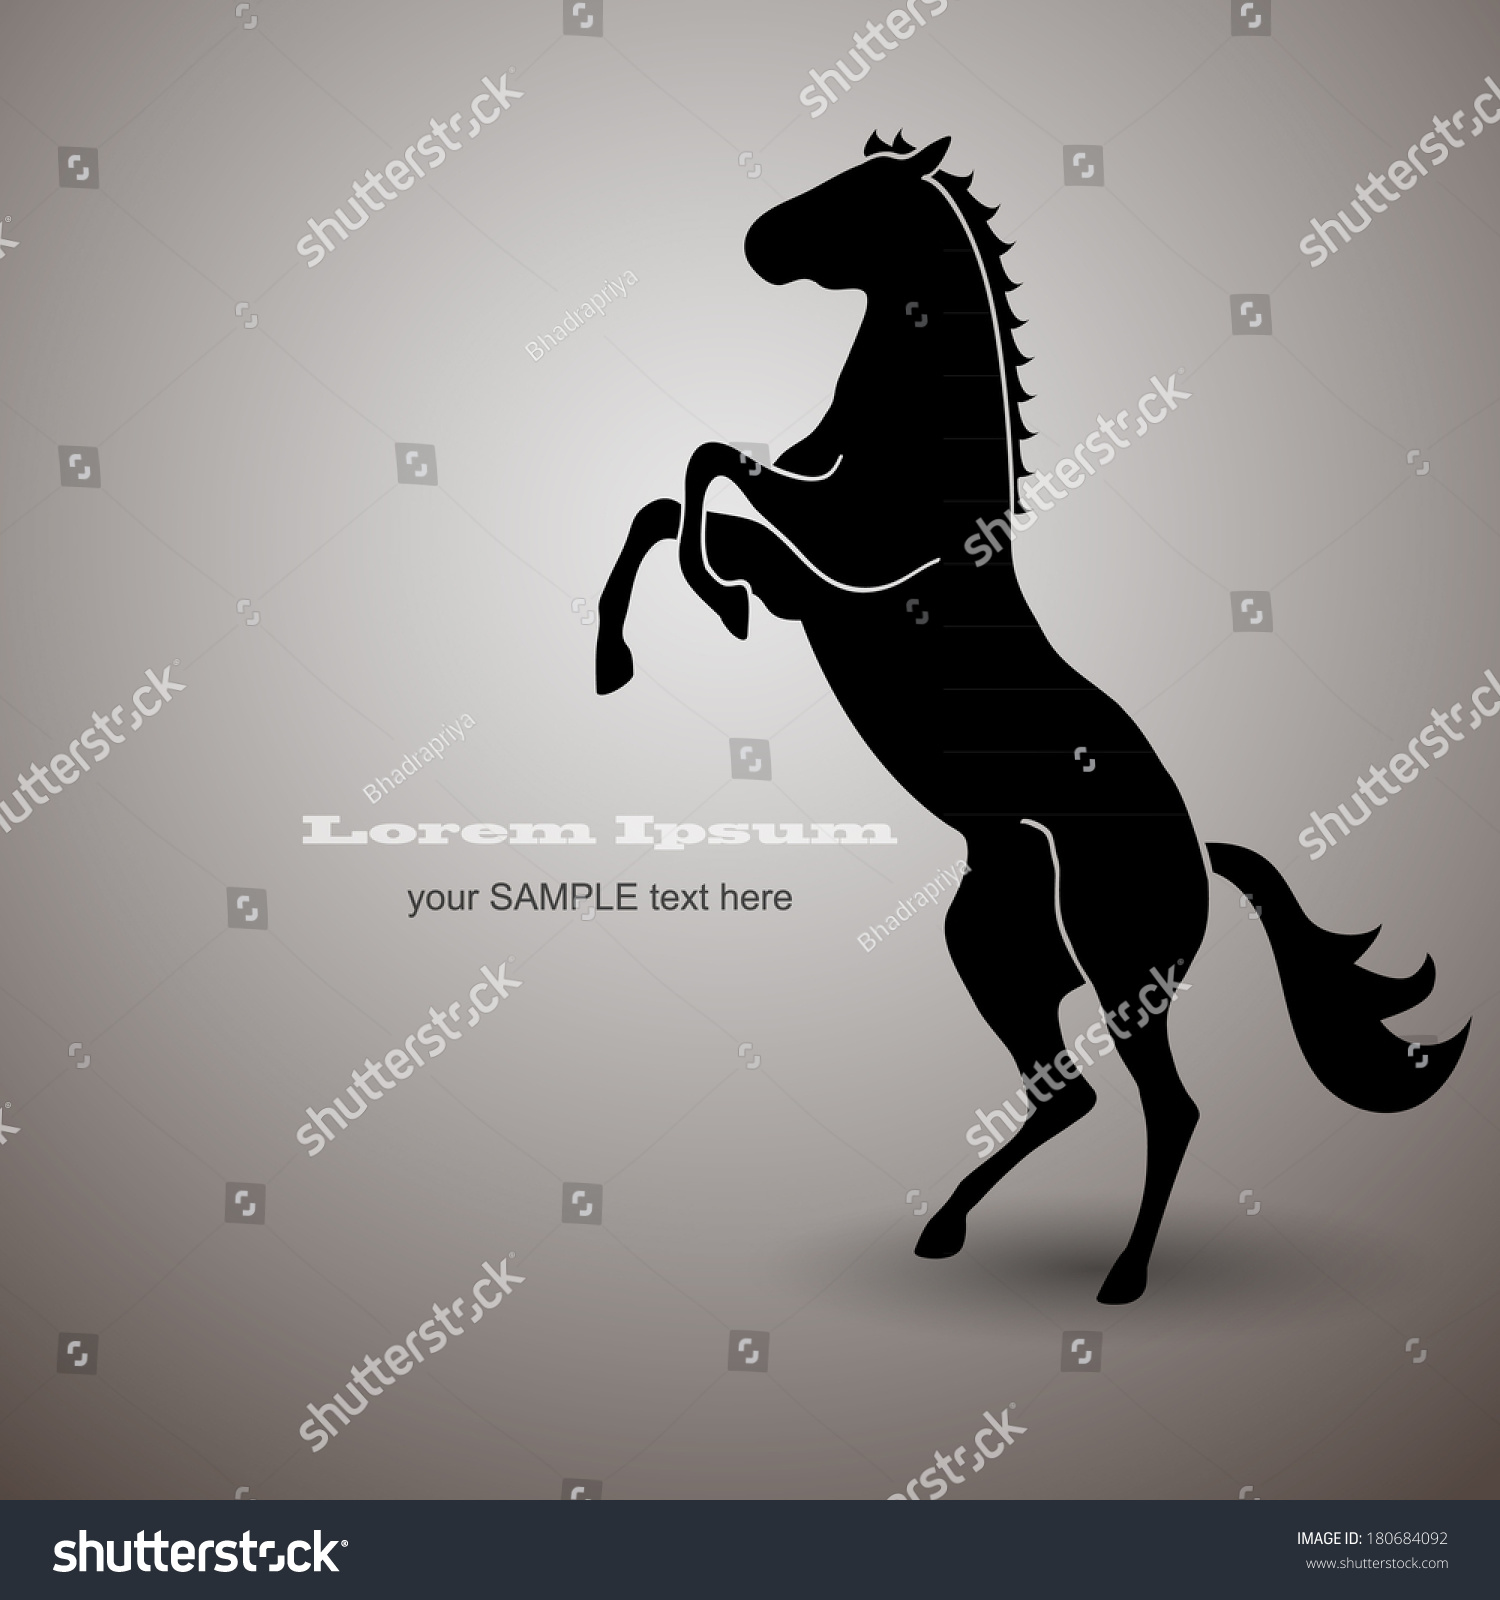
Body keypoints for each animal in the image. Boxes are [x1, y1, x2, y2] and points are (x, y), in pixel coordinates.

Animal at [594, 131, 1470, 1304]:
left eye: (864, 194)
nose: (758, 242)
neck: (913, 460)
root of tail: (1199, 854)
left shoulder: (831, 566)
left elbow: (708, 468)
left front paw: (708, 604)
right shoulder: (805, 580)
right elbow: (670, 498)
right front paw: (617, 659)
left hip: (1120, 967)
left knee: (1166, 1106)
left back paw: (1123, 1277)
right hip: (997, 948)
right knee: (1071, 1095)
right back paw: (945, 1228)